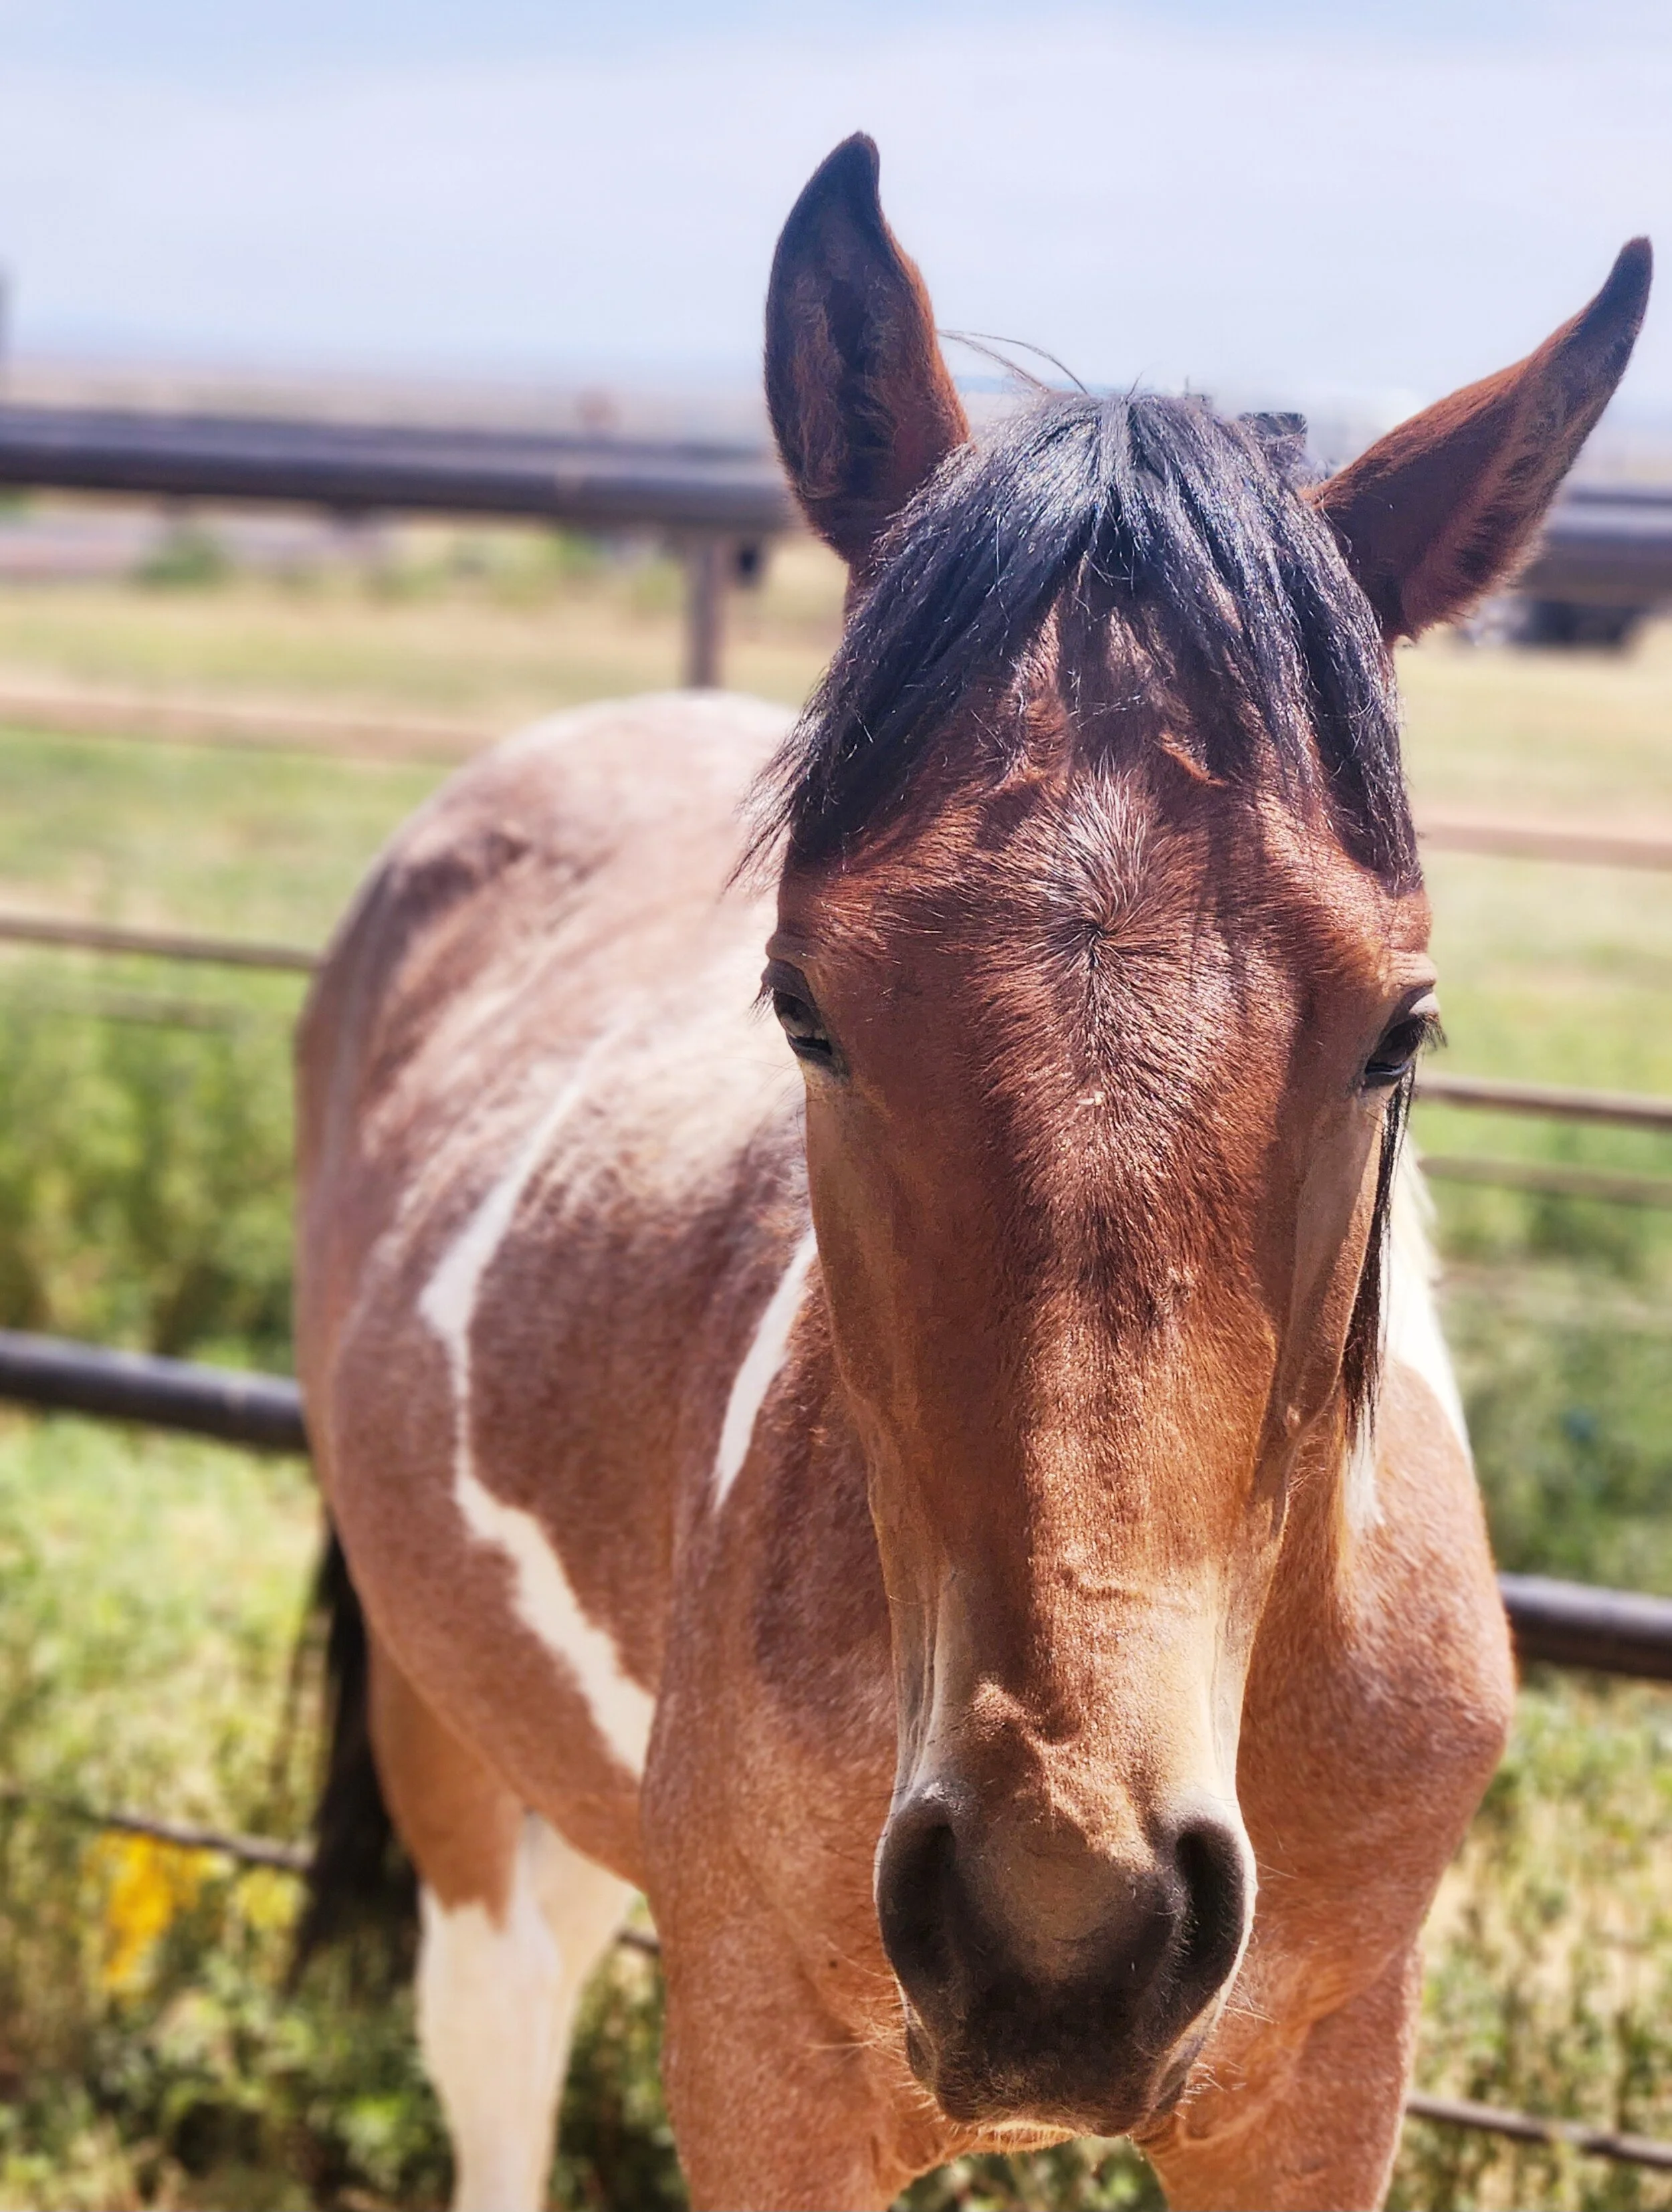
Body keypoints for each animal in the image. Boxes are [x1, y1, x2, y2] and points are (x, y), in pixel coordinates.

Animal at [294, 136, 1650, 2212]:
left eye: (1400, 1024)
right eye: (802, 1005)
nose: (1060, 1931)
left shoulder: (1325, 2085)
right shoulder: (762, 2073)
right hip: (450, 1730)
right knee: (501, 2042)